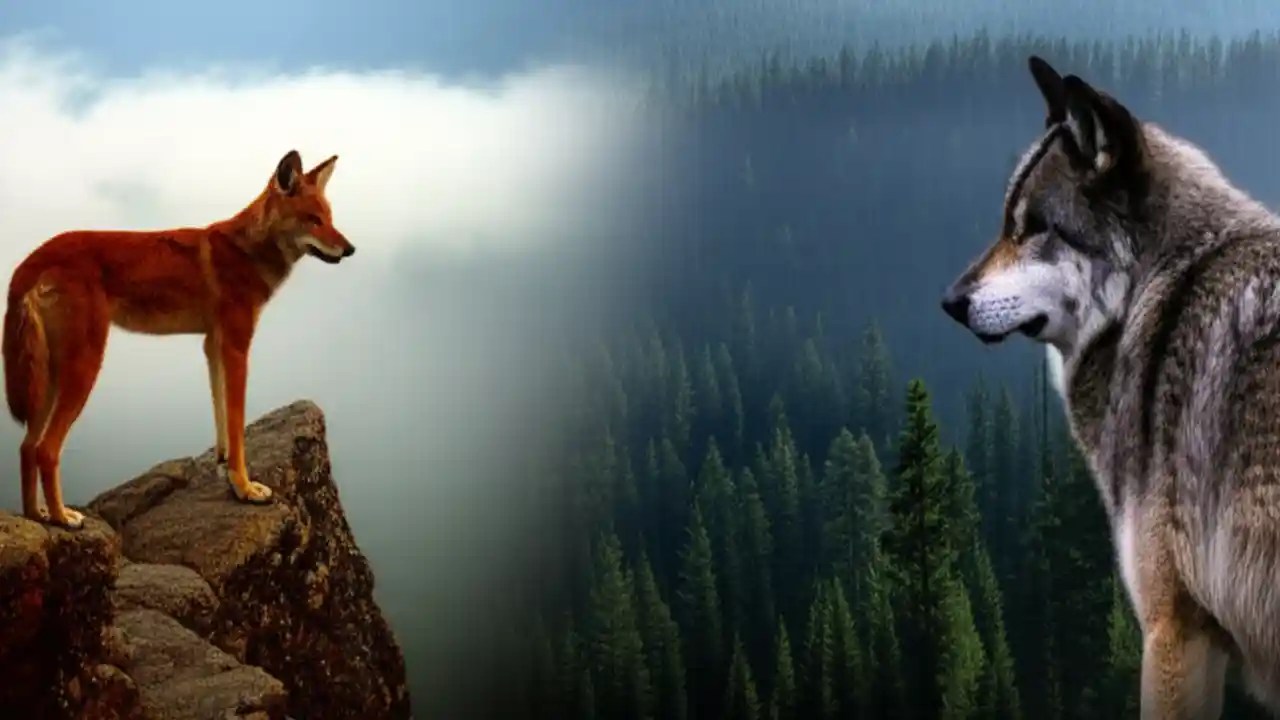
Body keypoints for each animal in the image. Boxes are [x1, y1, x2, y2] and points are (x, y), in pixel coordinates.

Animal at [2, 150, 354, 530]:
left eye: (329, 218)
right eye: (312, 220)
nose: (350, 249)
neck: (246, 252)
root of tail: (29, 260)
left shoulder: (213, 345)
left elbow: (221, 417)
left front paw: (224, 465)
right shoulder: (236, 347)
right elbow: (237, 424)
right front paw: (245, 488)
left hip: (49, 376)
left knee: (26, 447)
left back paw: (36, 515)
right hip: (83, 368)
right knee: (46, 449)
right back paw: (63, 518)